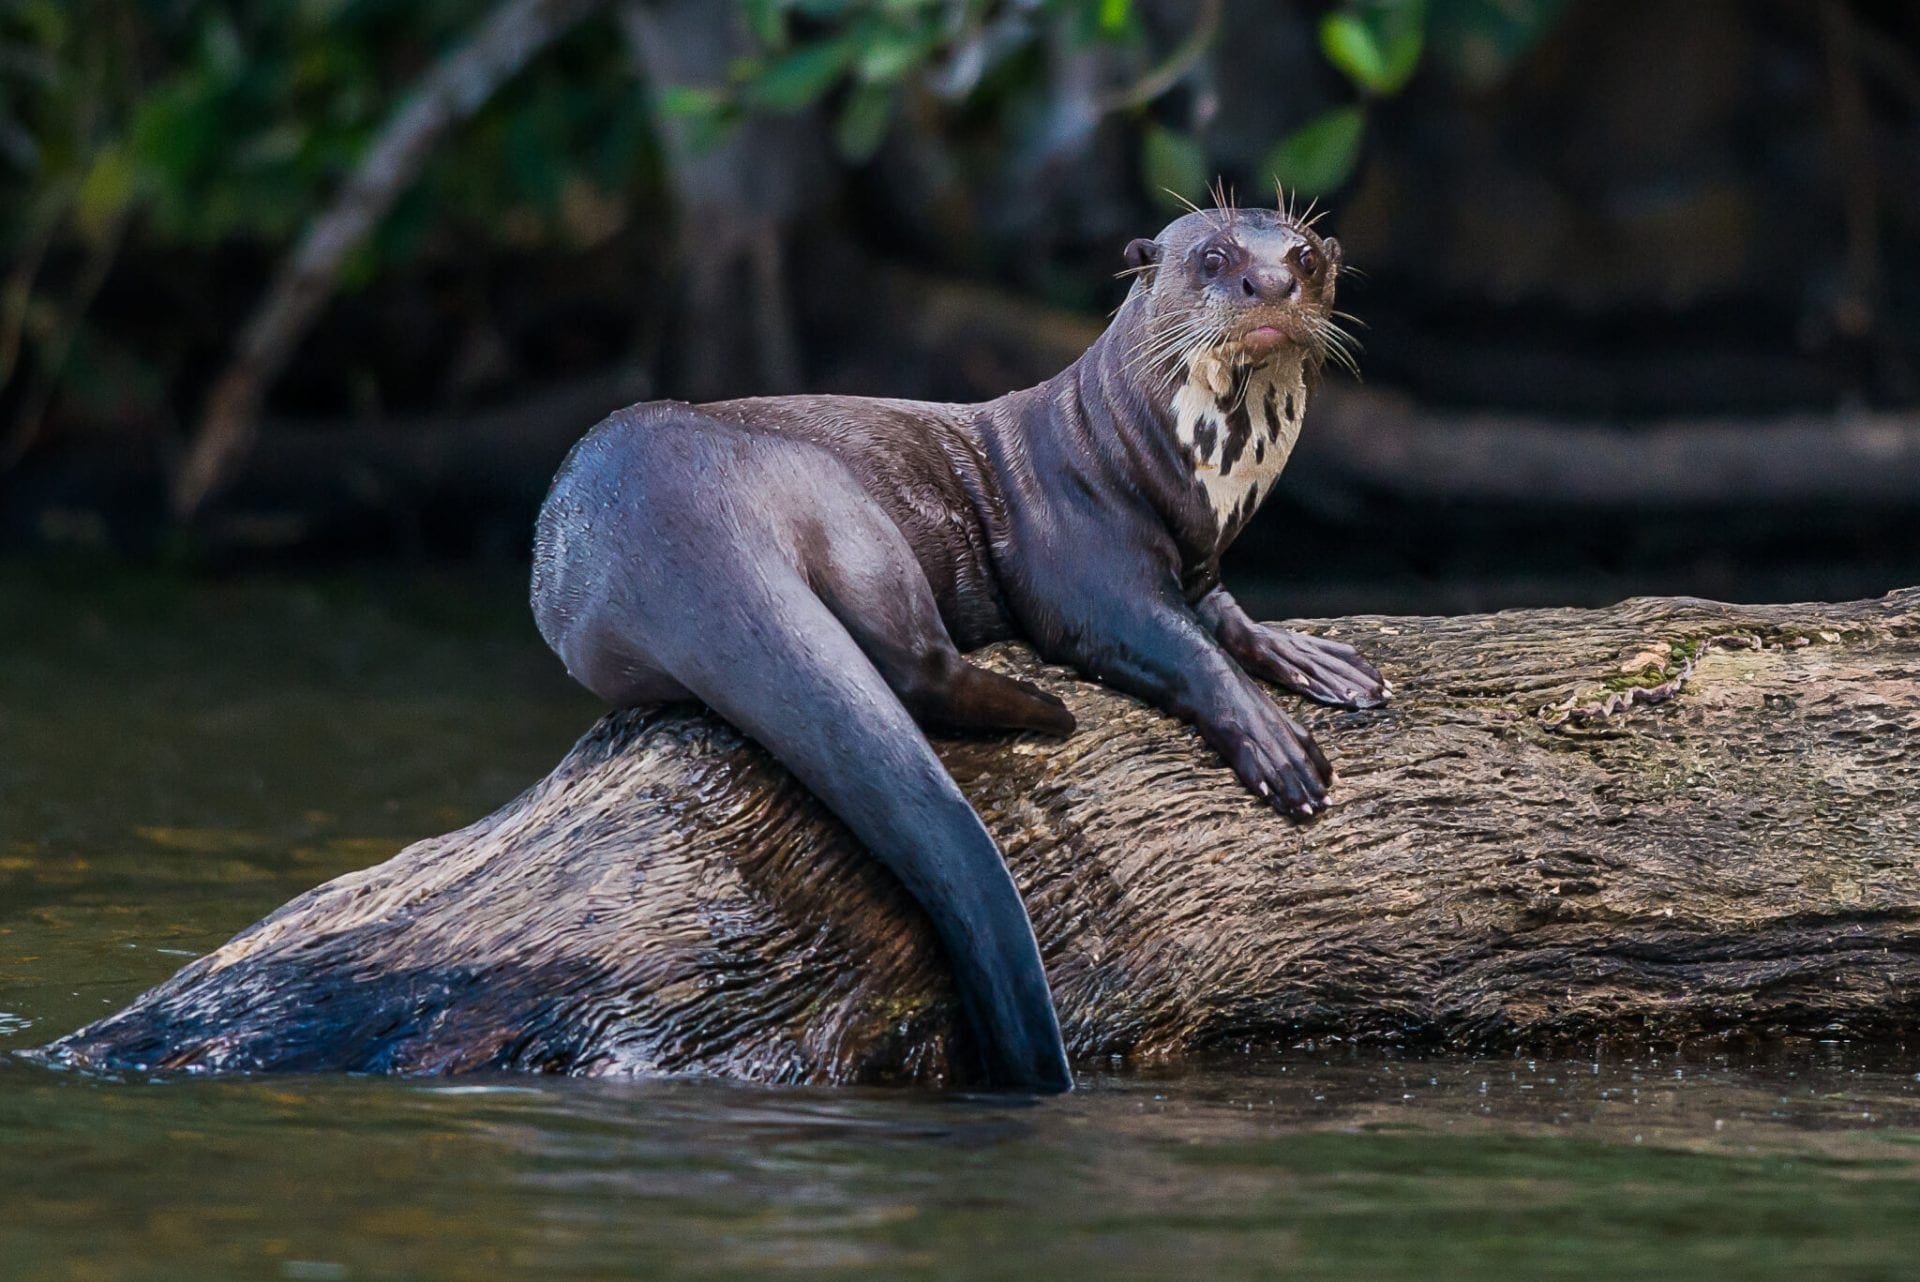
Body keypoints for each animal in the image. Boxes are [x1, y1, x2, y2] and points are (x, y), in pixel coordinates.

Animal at [531, 198, 1387, 1093]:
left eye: (1304, 256)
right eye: (1214, 257)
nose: (1271, 283)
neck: (1155, 463)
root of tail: (666, 515)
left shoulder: (1200, 561)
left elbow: (1225, 616)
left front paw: (1318, 662)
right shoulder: (1080, 558)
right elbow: (1170, 643)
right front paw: (1276, 745)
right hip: (836, 501)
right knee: (915, 664)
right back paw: (1046, 711)